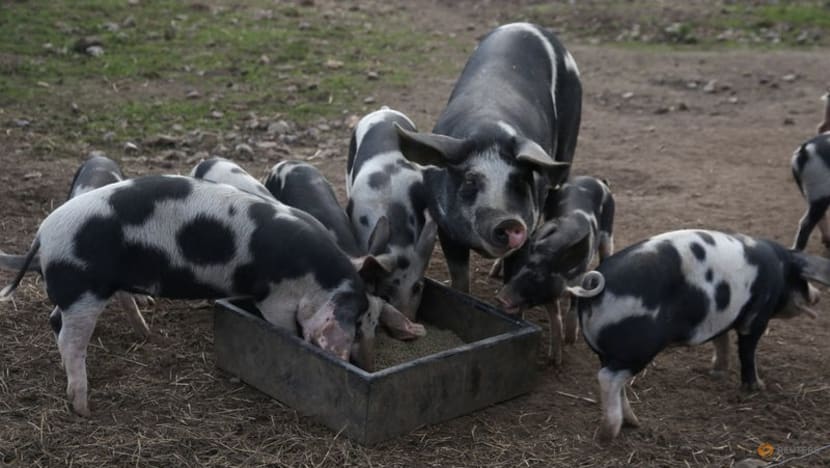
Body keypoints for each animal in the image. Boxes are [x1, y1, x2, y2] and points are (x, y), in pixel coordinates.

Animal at [0, 175, 402, 416]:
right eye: (360, 322)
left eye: (376, 321)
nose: (365, 364)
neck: (318, 277)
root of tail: (43, 235)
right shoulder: (277, 299)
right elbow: (286, 328)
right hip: (84, 289)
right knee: (70, 339)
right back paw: (83, 407)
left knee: (56, 321)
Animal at [394, 22, 579, 293]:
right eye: (470, 180)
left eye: (520, 180)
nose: (508, 221)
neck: (487, 130)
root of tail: (528, 25)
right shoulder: (445, 228)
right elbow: (460, 277)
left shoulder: (529, 220)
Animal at [496, 176, 615, 365]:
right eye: (516, 269)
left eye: (538, 276)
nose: (501, 297)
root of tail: (596, 179)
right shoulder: (547, 292)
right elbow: (555, 319)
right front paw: (554, 360)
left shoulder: (576, 277)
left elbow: (574, 304)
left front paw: (570, 340)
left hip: (607, 235)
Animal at [573, 229, 830, 443]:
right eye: (802, 279)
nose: (816, 295)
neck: (779, 268)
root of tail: (594, 288)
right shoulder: (756, 317)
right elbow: (747, 351)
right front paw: (757, 387)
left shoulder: (722, 318)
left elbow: (721, 340)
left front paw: (717, 372)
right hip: (638, 347)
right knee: (608, 378)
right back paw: (608, 434)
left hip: (609, 352)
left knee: (617, 382)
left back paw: (633, 423)